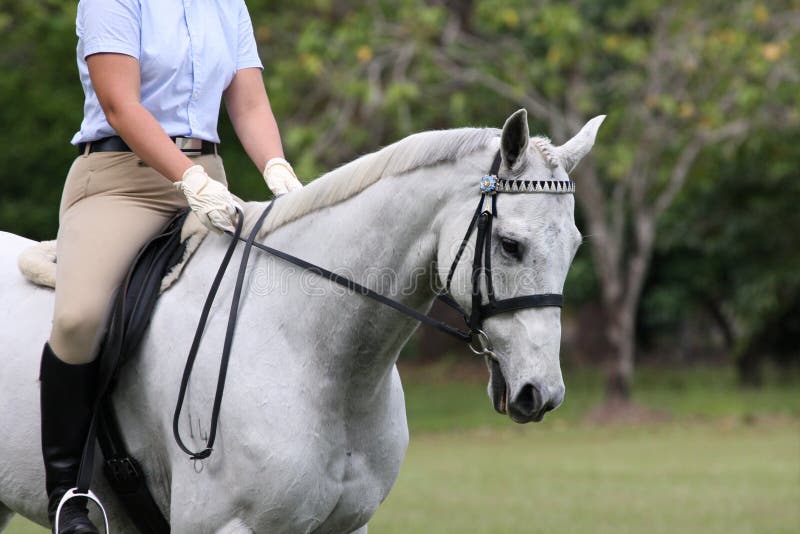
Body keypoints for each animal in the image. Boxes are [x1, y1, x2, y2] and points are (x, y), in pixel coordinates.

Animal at [0, 109, 604, 533]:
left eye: (575, 246)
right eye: (510, 245)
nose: (540, 393)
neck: (316, 355)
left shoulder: (347, 526)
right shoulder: (221, 526)